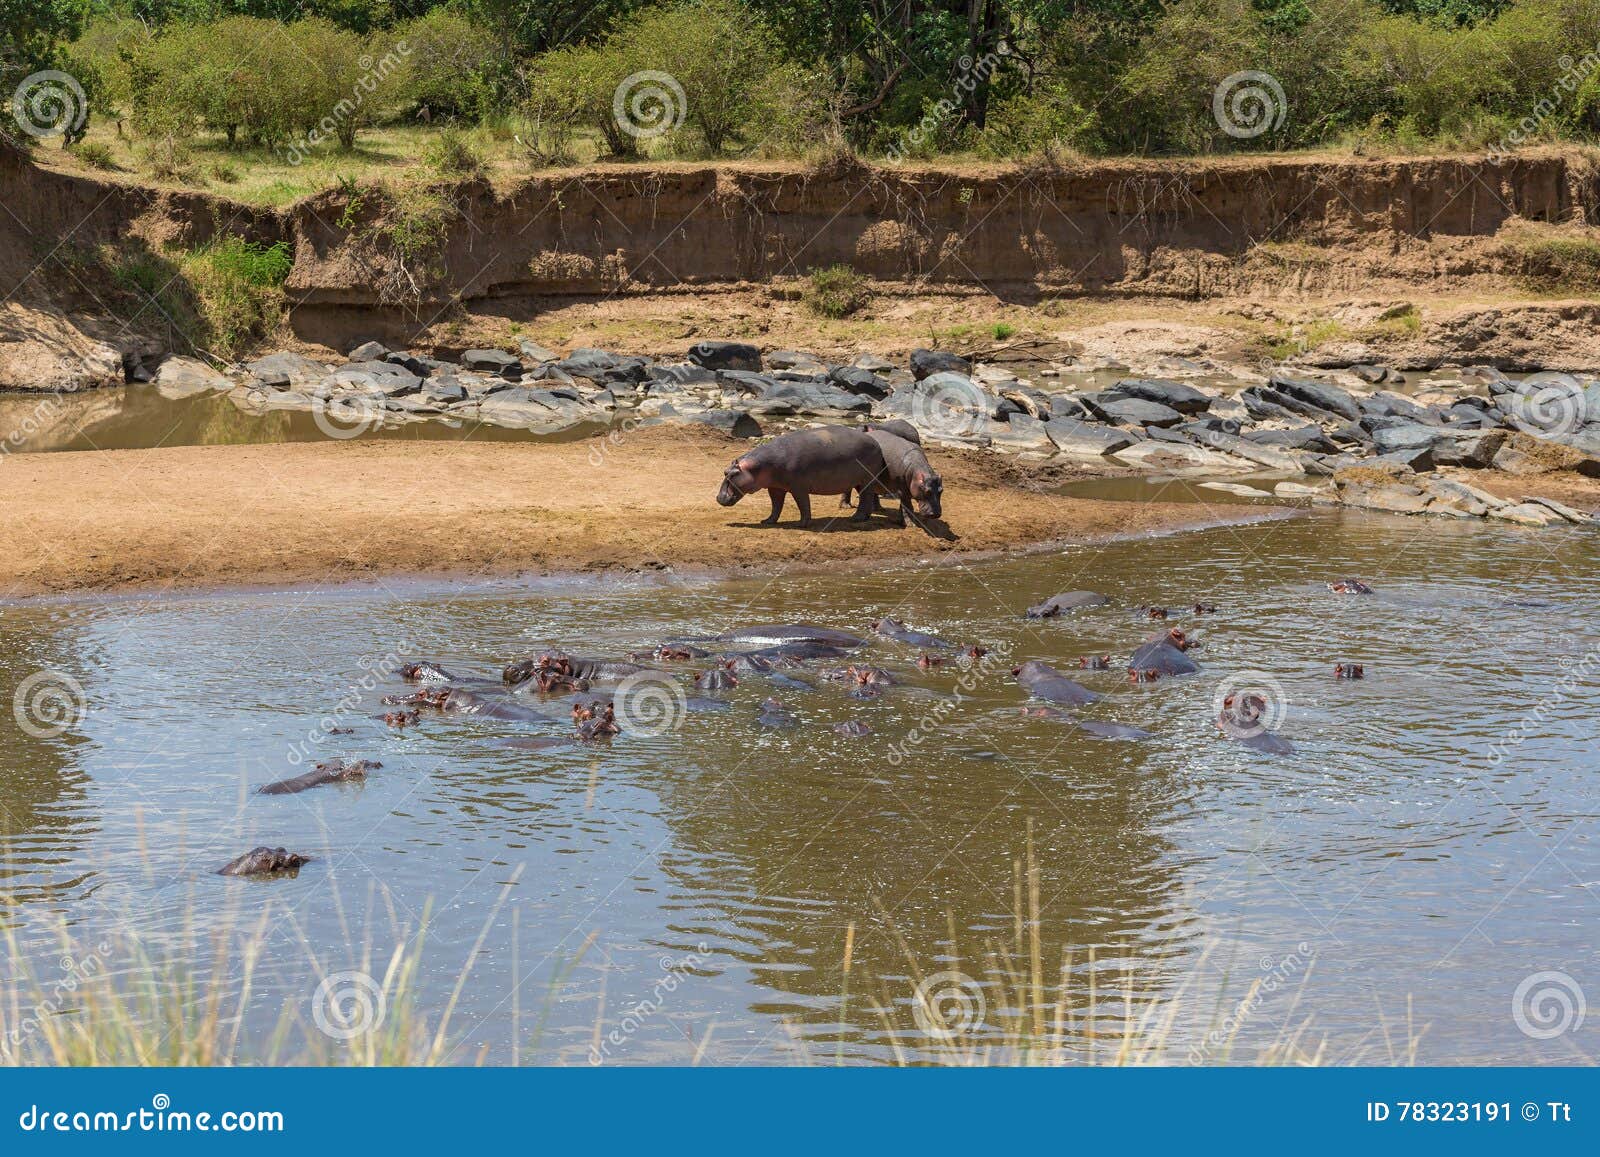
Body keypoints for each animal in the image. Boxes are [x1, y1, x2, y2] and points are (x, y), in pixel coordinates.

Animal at [716, 426, 891, 527]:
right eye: (725, 472)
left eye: (734, 474)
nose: (719, 498)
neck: (758, 467)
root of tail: (875, 442)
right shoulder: (775, 488)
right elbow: (776, 506)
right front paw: (767, 521)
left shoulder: (798, 487)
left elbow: (803, 504)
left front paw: (802, 524)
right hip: (859, 481)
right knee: (867, 497)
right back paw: (864, 518)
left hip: (866, 479)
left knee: (865, 497)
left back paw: (856, 519)